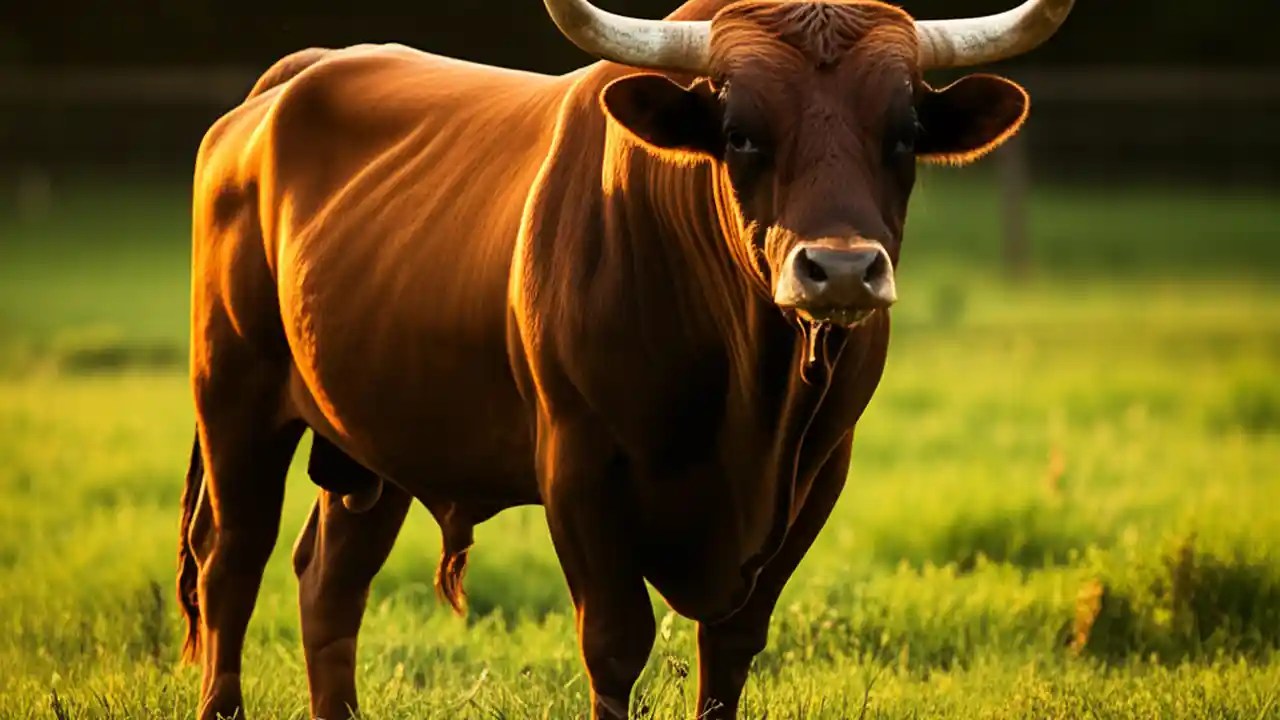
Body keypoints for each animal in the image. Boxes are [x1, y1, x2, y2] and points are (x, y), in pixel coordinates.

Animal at [176, 0, 1074, 717]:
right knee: (232, 562)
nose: (843, 269)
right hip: (234, 394)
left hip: (374, 443)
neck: (754, 395)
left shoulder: (817, 476)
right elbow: (615, 644)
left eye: (905, 135)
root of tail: (297, 78)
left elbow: (731, 646)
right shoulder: (579, 467)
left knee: (331, 581)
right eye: (740, 135)